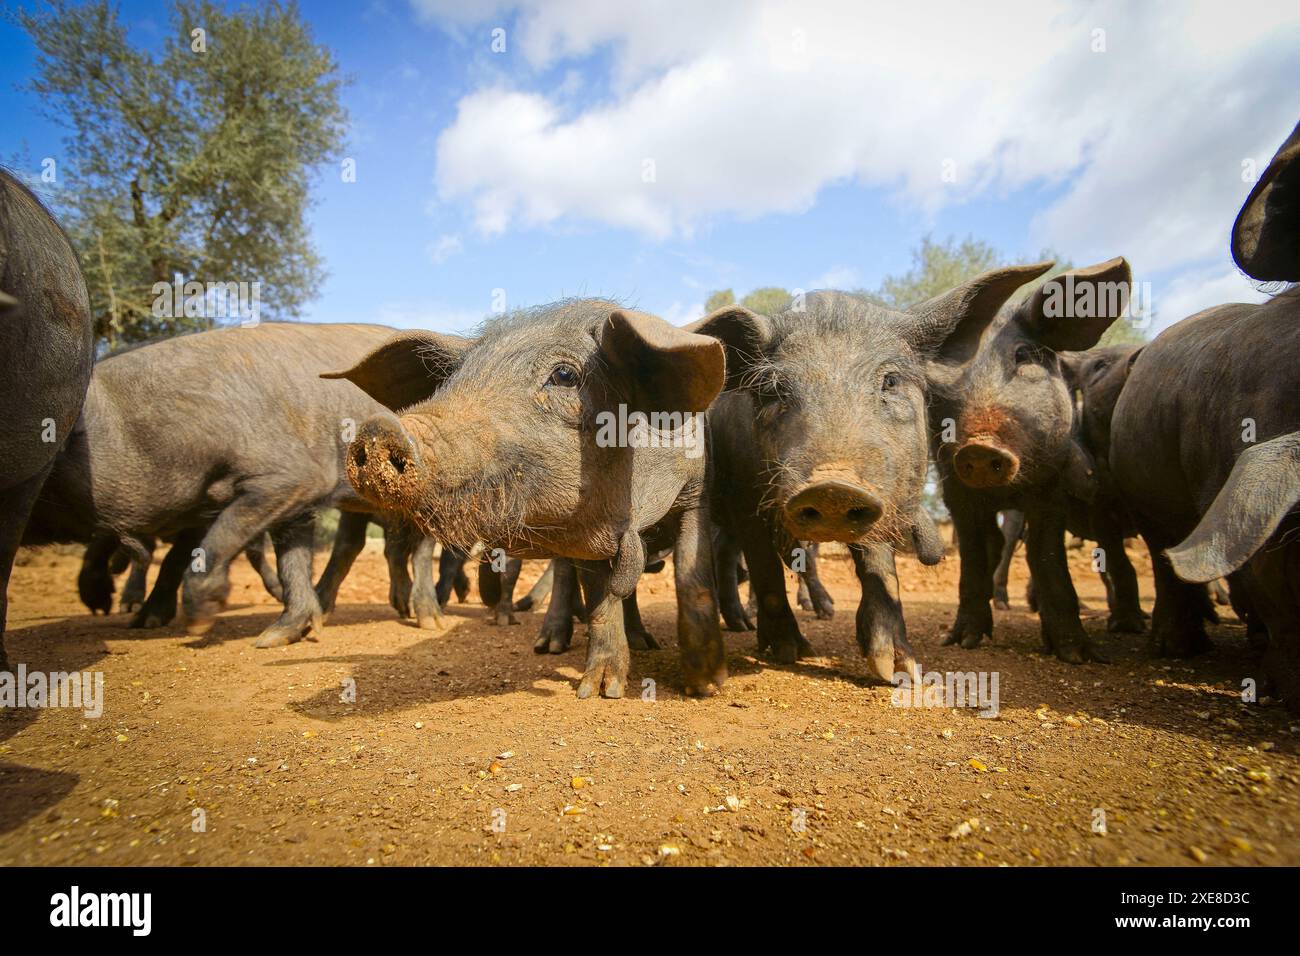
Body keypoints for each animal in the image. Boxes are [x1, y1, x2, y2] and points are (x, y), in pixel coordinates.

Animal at [23, 322, 439, 646]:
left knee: (417, 550)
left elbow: (219, 540)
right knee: (356, 547)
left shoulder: (289, 478)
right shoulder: (296, 500)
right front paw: (276, 637)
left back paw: (427, 618)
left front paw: (199, 622)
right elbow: (291, 559)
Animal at [326, 300, 727, 699]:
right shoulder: (588, 533)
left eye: (565, 375)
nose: (379, 429)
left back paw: (646, 644)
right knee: (566, 575)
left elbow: (692, 575)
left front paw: (704, 685)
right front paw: (597, 690)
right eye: (452, 379)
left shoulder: (697, 489)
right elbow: (601, 601)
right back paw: (549, 645)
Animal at [691, 271, 1046, 681]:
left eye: (890, 381)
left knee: (726, 550)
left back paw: (746, 624)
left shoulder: (880, 489)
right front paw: (790, 653)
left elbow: (880, 566)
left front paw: (898, 670)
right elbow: (766, 570)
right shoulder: (745, 498)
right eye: (774, 389)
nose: (832, 485)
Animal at [930, 258, 1133, 663]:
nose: (979, 447)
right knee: (997, 543)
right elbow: (972, 556)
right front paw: (962, 642)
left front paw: (1078, 656)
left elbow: (1048, 558)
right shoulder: (953, 487)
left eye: (1023, 355)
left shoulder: (1052, 485)